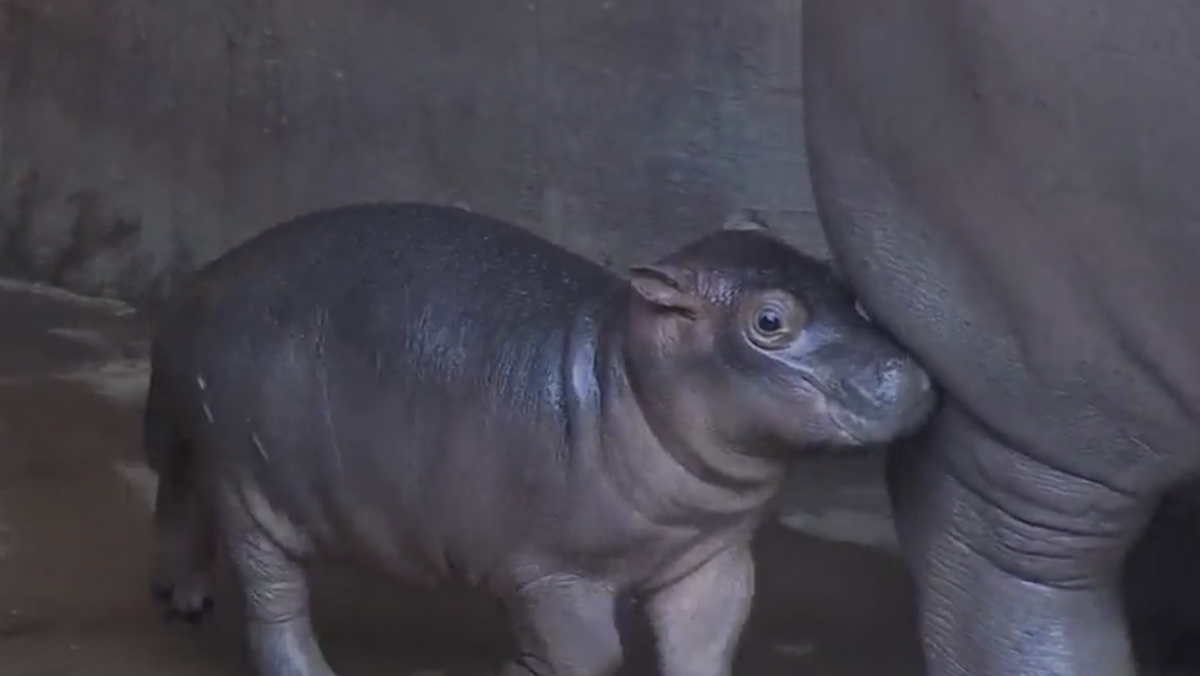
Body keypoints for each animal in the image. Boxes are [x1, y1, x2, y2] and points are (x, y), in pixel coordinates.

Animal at [142, 202, 935, 676]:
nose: (913, 375)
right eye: (769, 320)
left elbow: (708, 642)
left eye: (840, 280)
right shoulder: (553, 573)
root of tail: (196, 286)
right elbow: (592, 653)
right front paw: (522, 668)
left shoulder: (712, 556)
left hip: (212, 455)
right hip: (252, 487)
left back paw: (184, 598)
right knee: (274, 598)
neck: (623, 372)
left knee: (183, 500)